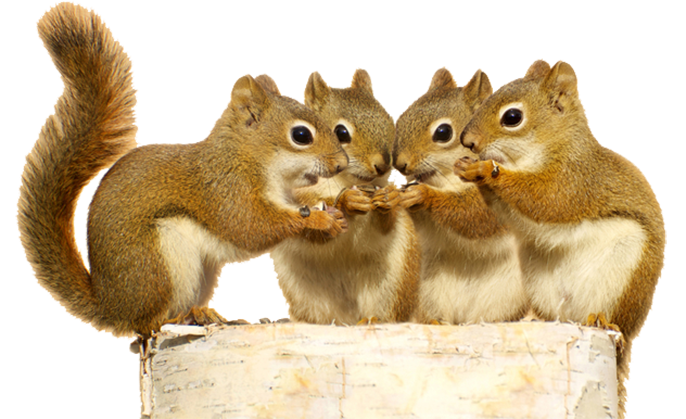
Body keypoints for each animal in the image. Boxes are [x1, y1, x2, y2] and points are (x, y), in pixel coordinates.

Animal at [19, 4, 349, 336]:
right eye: (301, 135)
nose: (342, 164)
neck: (248, 158)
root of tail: (111, 305)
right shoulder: (225, 189)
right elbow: (250, 227)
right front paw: (318, 219)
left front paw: (336, 212)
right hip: (158, 263)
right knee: (147, 324)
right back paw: (178, 319)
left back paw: (201, 313)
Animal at [271, 70, 420, 325]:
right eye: (340, 133)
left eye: (388, 120)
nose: (384, 164)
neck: (346, 181)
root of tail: (348, 318)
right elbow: (312, 229)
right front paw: (347, 202)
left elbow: (385, 227)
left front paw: (388, 201)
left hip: (394, 280)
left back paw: (373, 320)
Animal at [393, 69, 527, 325]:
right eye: (403, 117)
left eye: (443, 132)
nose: (400, 164)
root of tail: (462, 317)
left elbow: (474, 215)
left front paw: (424, 195)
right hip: (428, 291)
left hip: (508, 294)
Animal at [456, 60, 665, 416]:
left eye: (512, 117)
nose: (467, 141)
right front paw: (468, 167)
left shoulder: (573, 181)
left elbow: (544, 199)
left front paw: (487, 170)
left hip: (624, 274)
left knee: (612, 318)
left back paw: (602, 319)